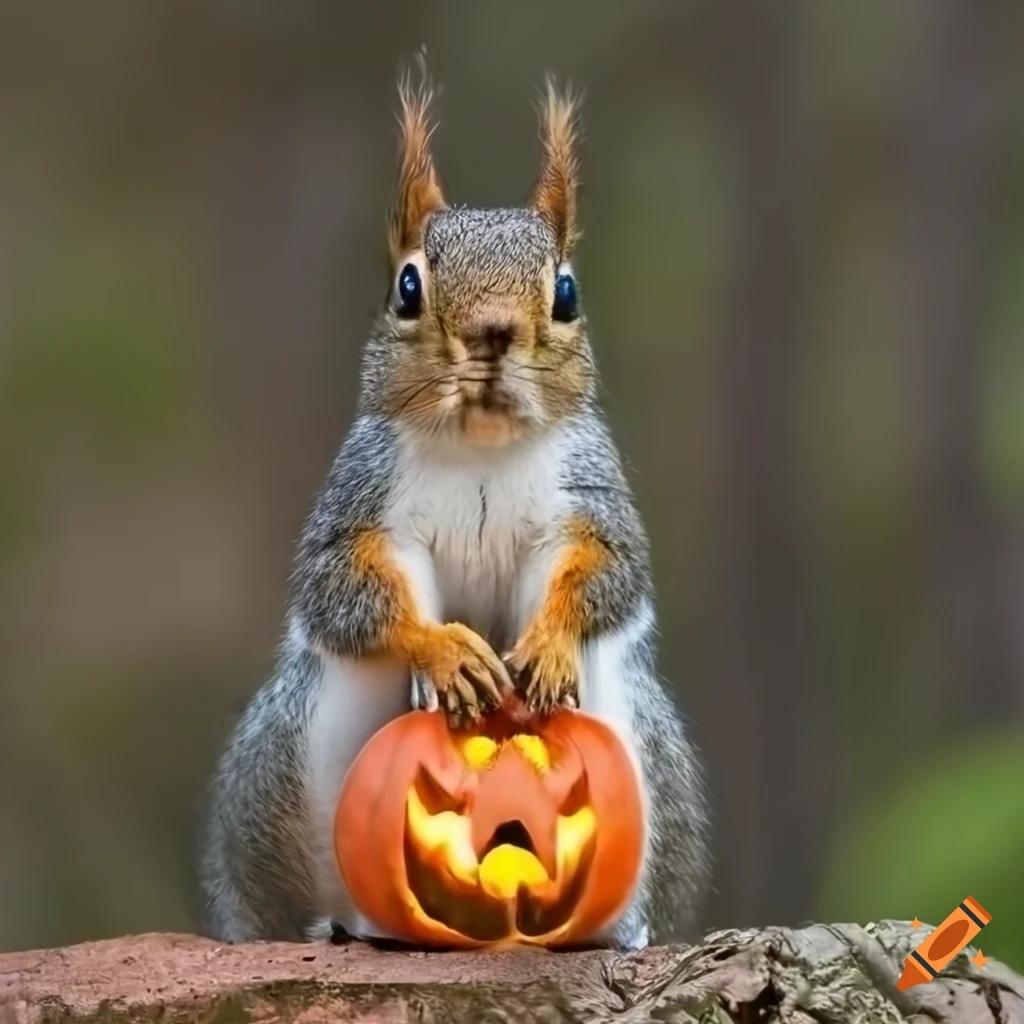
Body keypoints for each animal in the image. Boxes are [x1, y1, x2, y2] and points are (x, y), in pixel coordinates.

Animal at [198, 67, 710, 951]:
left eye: (566, 291)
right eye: (408, 287)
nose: (492, 332)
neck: (481, 448)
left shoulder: (591, 494)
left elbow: (608, 572)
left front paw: (548, 640)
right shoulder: (361, 497)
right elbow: (341, 590)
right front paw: (443, 651)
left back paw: (619, 929)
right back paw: (340, 926)